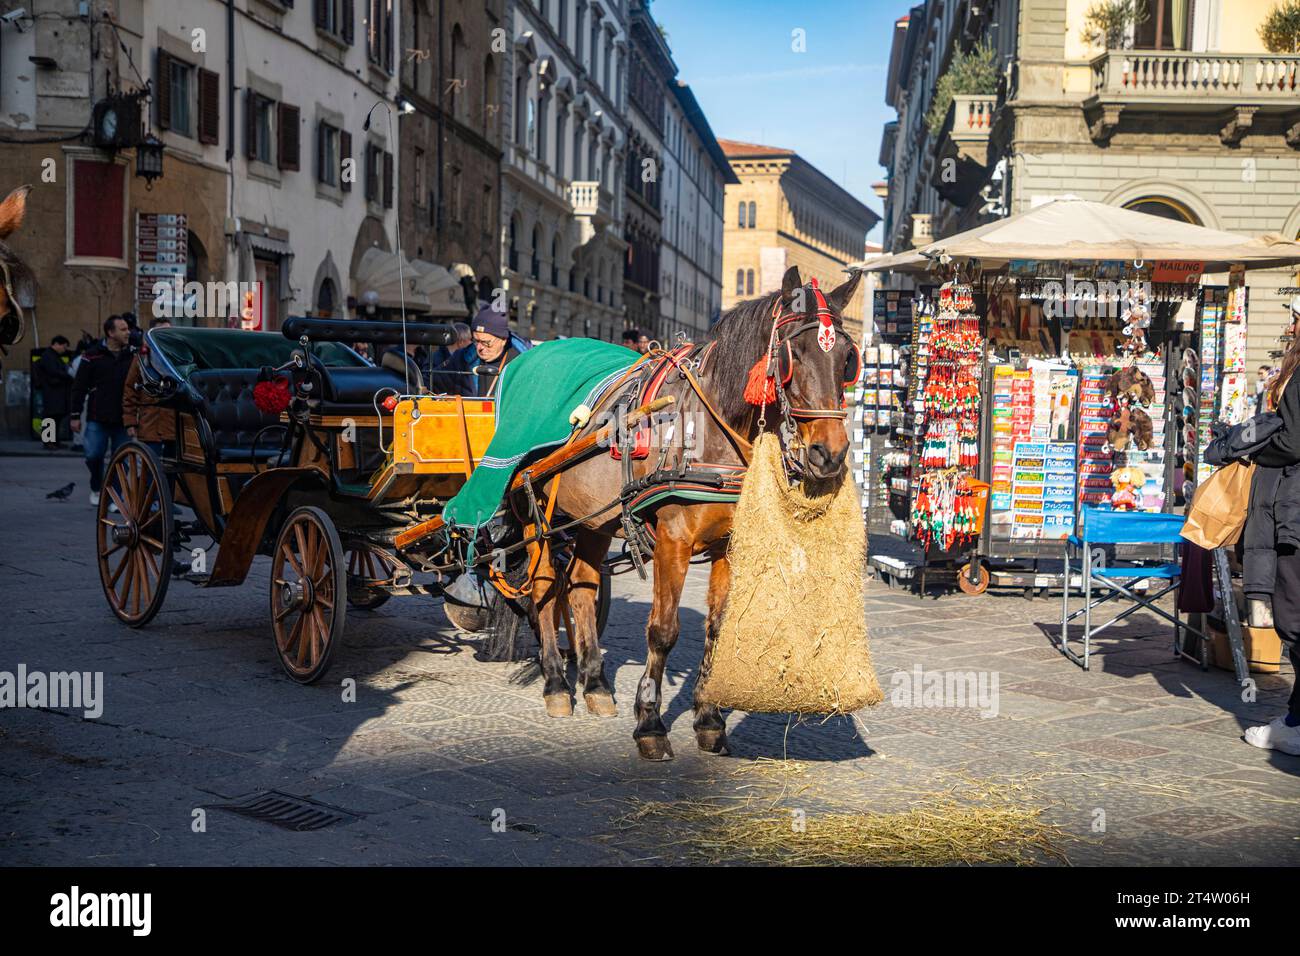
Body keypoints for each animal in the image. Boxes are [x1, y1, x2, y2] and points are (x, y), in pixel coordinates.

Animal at [500, 265, 862, 760]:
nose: (831, 454)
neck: (708, 430)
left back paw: (594, 684)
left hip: (593, 520)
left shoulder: (729, 545)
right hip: (538, 519)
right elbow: (663, 630)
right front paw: (650, 723)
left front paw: (709, 718)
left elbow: (716, 629)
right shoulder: (673, 542)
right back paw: (557, 682)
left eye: (847, 360)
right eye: (793, 355)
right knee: (543, 589)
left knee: (582, 589)